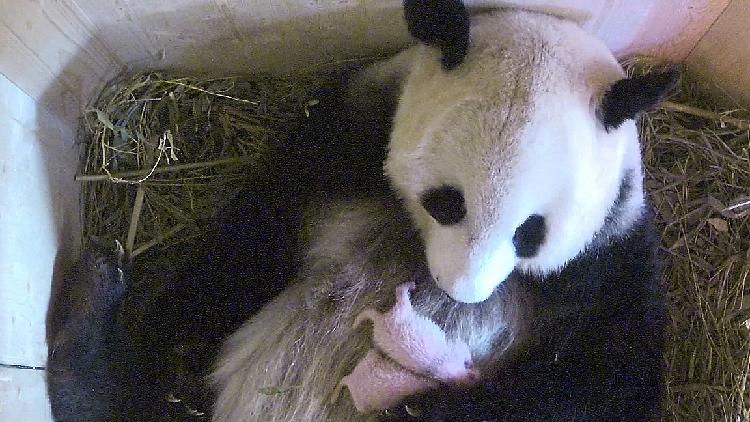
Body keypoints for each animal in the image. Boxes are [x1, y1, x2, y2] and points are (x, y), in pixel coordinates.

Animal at [46, 1, 676, 421]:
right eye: (447, 202)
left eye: (530, 232)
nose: (461, 291)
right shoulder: (350, 133)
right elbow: (250, 239)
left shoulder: (610, 261)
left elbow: (603, 379)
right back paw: (92, 316)